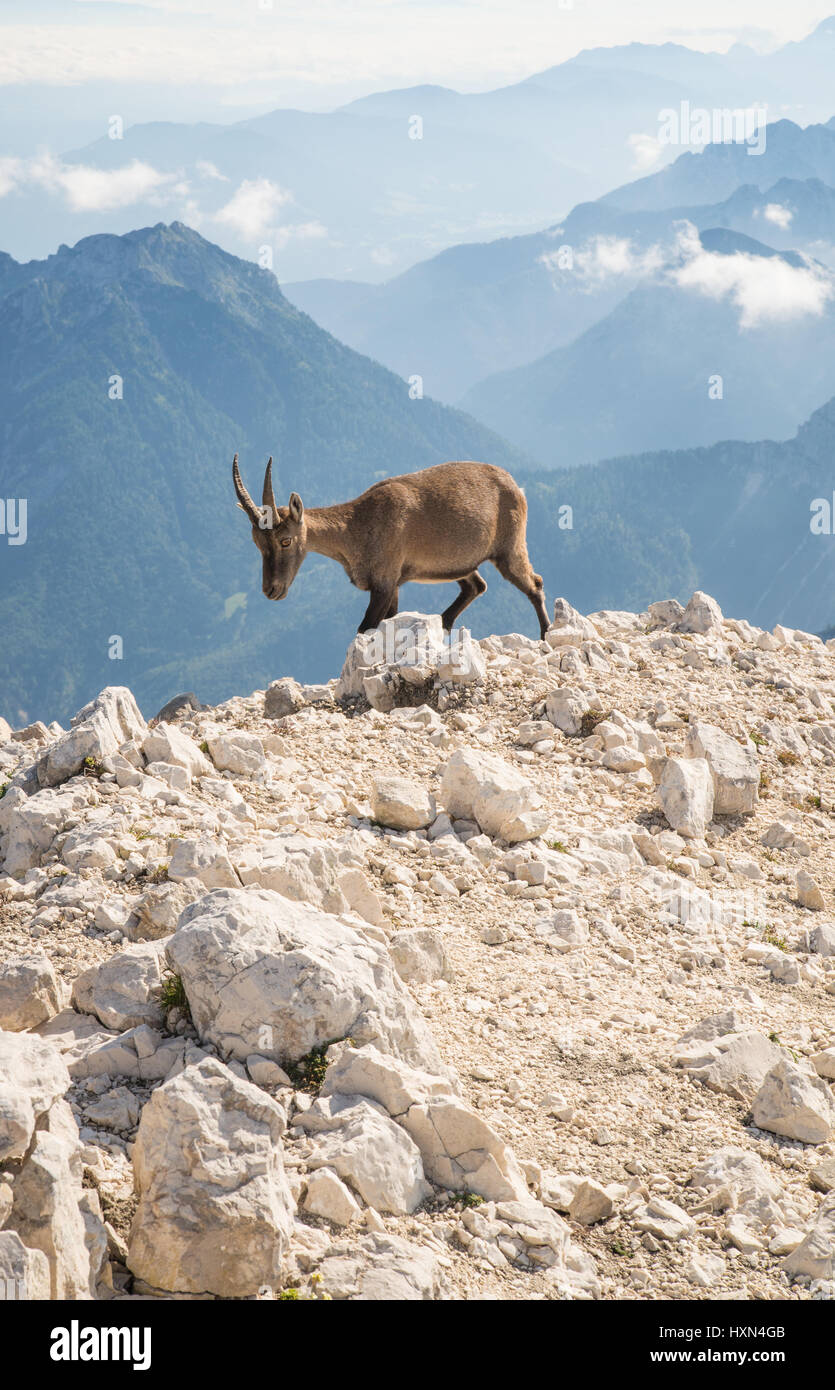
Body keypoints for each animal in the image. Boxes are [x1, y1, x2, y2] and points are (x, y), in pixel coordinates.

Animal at [232, 455, 549, 637]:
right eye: (257, 542)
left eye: (285, 540)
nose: (271, 590)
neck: (357, 527)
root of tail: (516, 486)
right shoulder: (393, 585)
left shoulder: (384, 583)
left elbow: (365, 629)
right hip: (459, 563)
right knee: (476, 586)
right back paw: (443, 624)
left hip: (509, 549)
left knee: (534, 583)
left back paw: (546, 634)